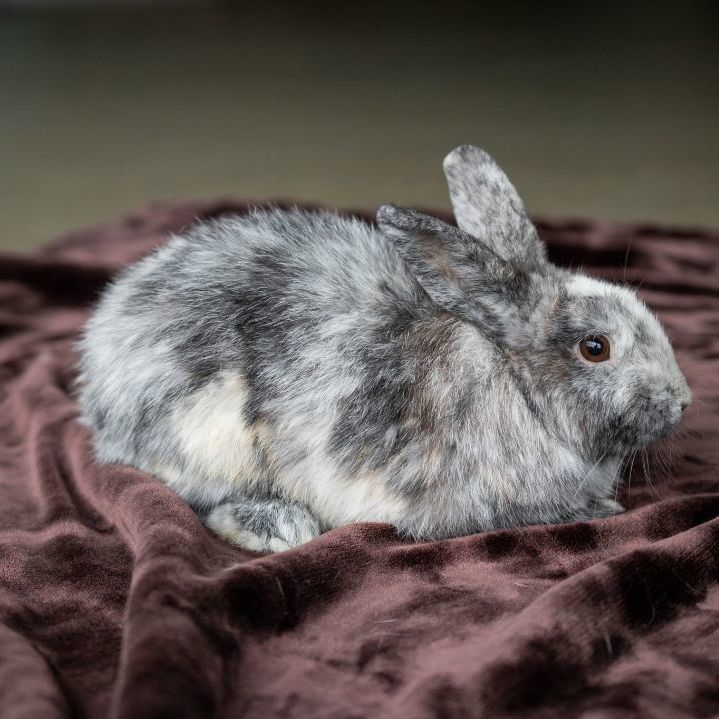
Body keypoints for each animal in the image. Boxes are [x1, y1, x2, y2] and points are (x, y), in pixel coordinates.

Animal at [77, 145, 691, 553]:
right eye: (595, 347)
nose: (683, 401)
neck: (513, 384)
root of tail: (97, 368)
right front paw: (604, 506)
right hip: (211, 433)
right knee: (200, 500)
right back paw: (278, 527)